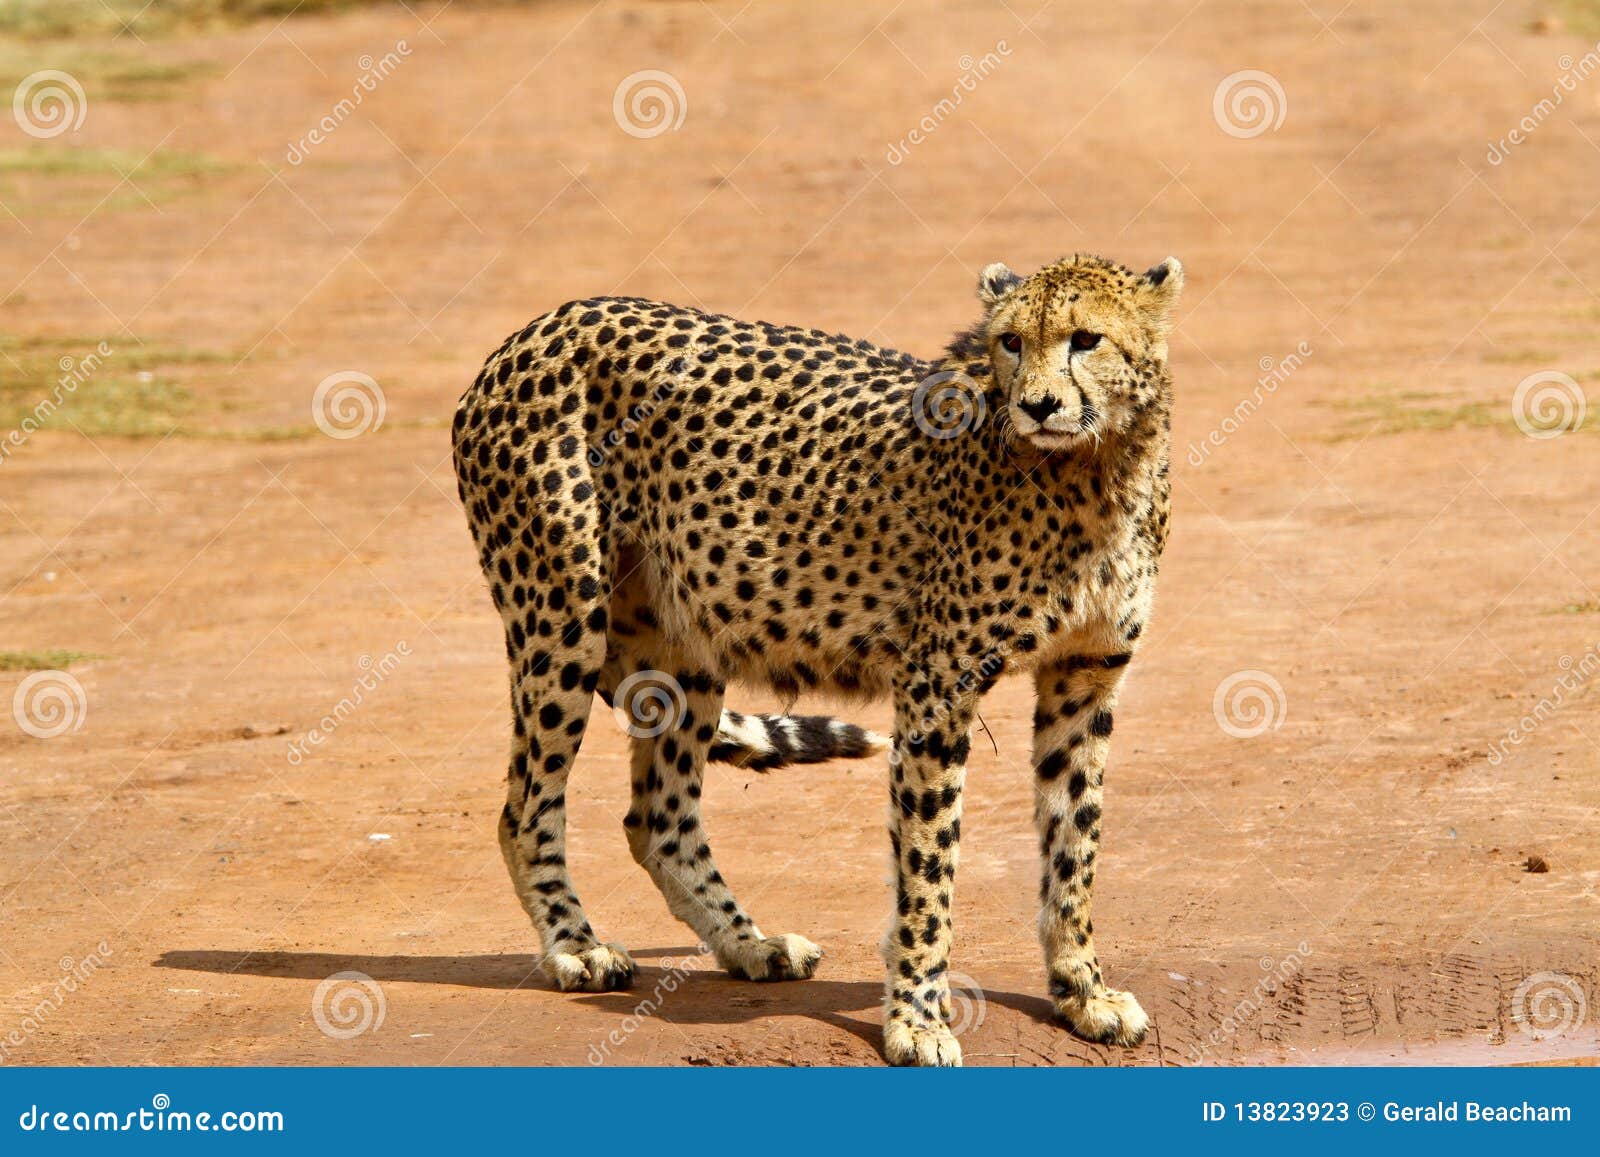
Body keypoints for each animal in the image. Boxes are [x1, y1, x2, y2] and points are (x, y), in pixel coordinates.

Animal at [450, 252, 1183, 1066]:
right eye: (1012, 342)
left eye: (1087, 339)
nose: (1039, 405)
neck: (1096, 467)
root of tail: (540, 325)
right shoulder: (935, 689)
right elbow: (929, 865)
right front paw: (917, 1016)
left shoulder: (1084, 681)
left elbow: (1074, 844)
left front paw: (1081, 989)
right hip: (563, 617)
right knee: (526, 806)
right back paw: (576, 946)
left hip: (684, 638)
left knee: (659, 818)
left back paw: (750, 944)